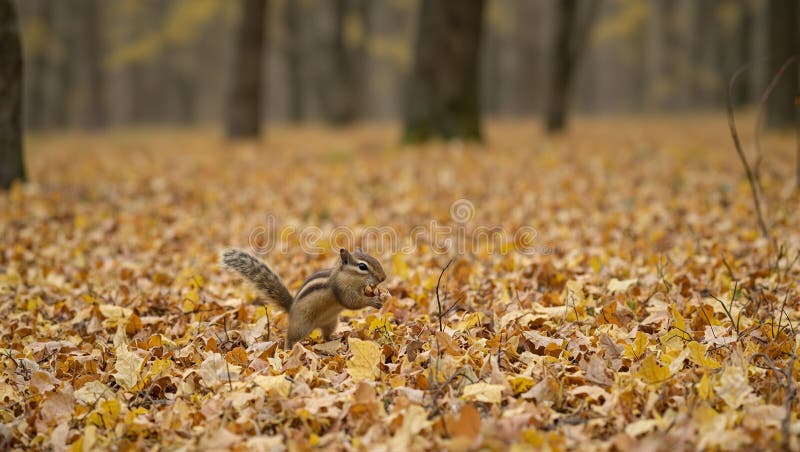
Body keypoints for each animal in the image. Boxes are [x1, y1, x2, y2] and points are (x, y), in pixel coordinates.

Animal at [222, 248, 387, 349]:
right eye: (362, 267)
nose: (383, 278)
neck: (344, 276)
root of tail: (291, 308)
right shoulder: (342, 290)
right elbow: (352, 303)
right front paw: (372, 301)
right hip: (302, 326)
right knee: (290, 337)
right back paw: (287, 350)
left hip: (331, 322)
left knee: (326, 335)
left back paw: (335, 338)